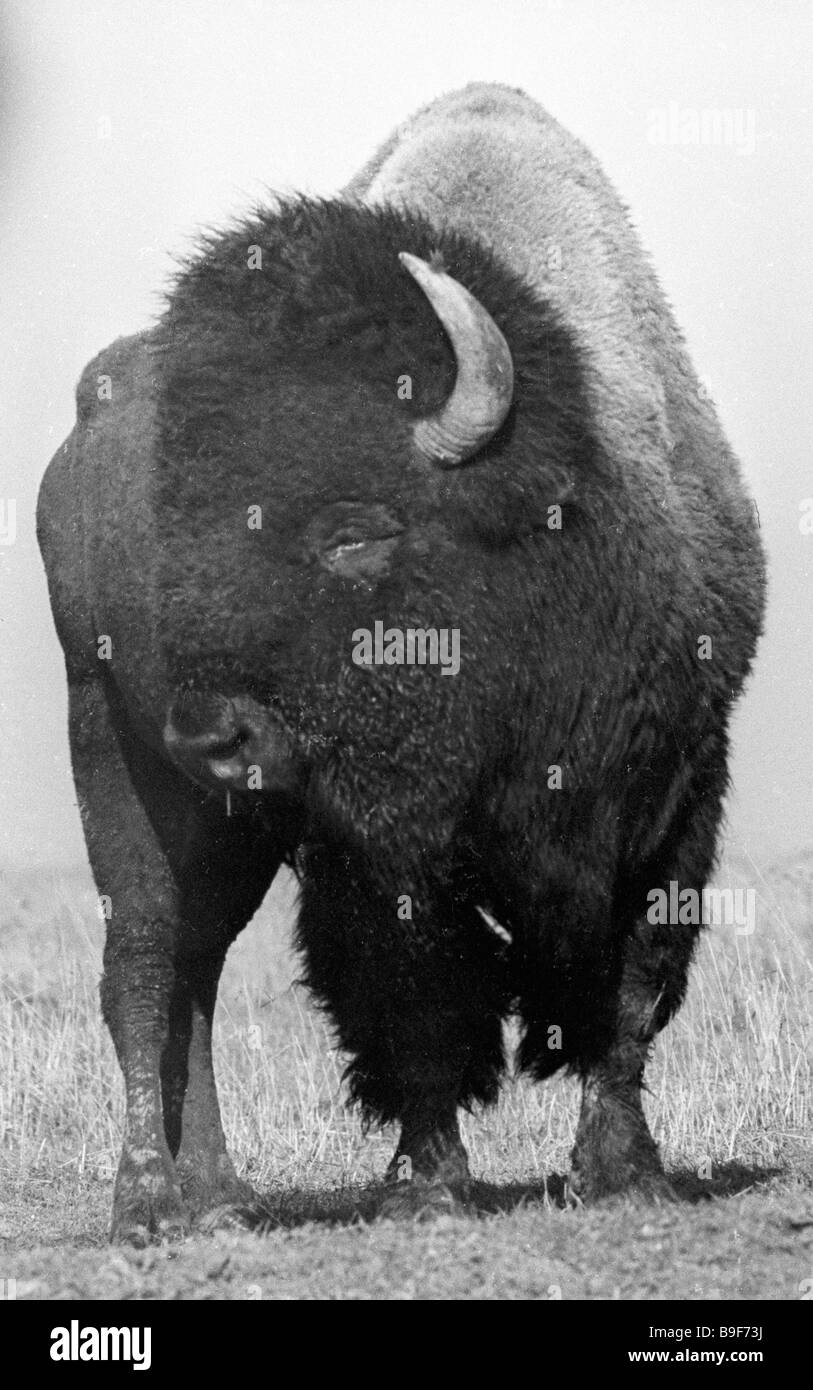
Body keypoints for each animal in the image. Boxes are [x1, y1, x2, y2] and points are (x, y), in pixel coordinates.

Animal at [38, 83, 765, 1241]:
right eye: (177, 529)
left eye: (353, 533)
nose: (214, 733)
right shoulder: (371, 851)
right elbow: (413, 1003)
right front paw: (433, 1184)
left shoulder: (679, 790)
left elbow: (631, 991)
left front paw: (625, 1172)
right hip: (114, 746)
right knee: (145, 960)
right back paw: (147, 1202)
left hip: (224, 819)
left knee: (195, 965)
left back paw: (220, 1196)